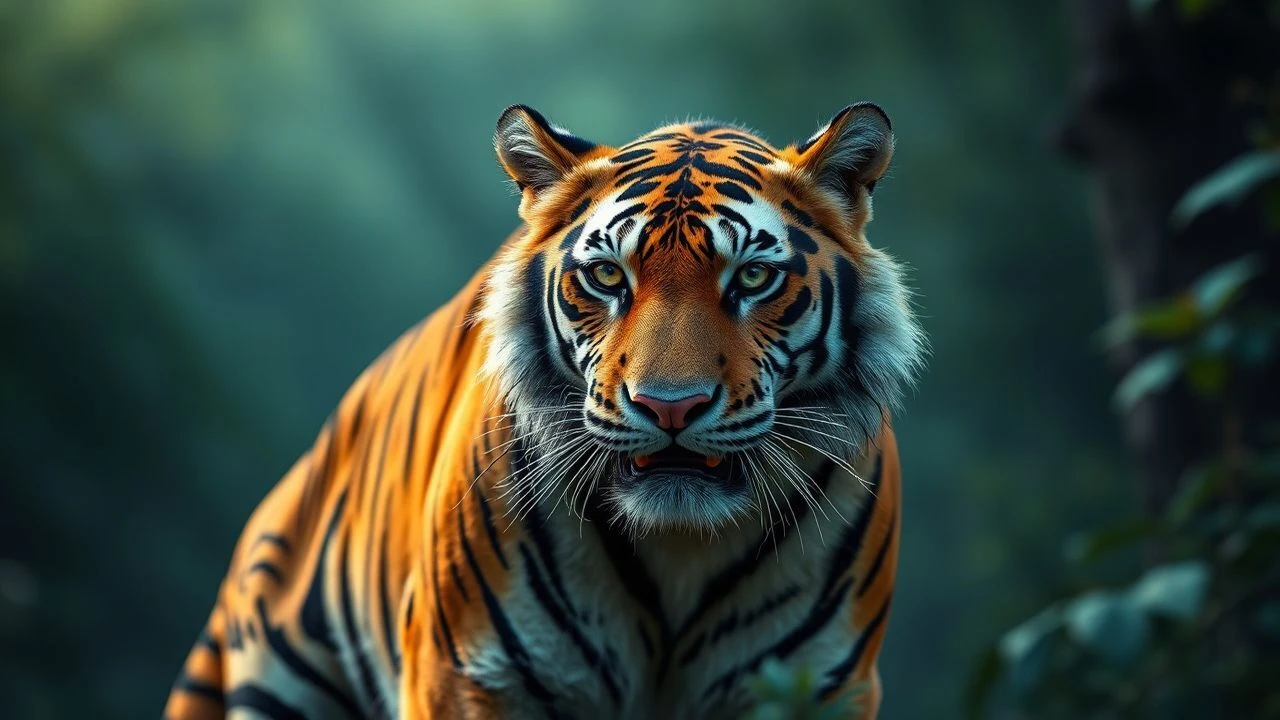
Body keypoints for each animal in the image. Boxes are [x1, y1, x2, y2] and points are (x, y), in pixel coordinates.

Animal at [164, 101, 925, 720]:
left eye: (754, 278)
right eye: (608, 276)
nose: (669, 407)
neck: (680, 549)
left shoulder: (820, 686)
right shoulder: (468, 673)